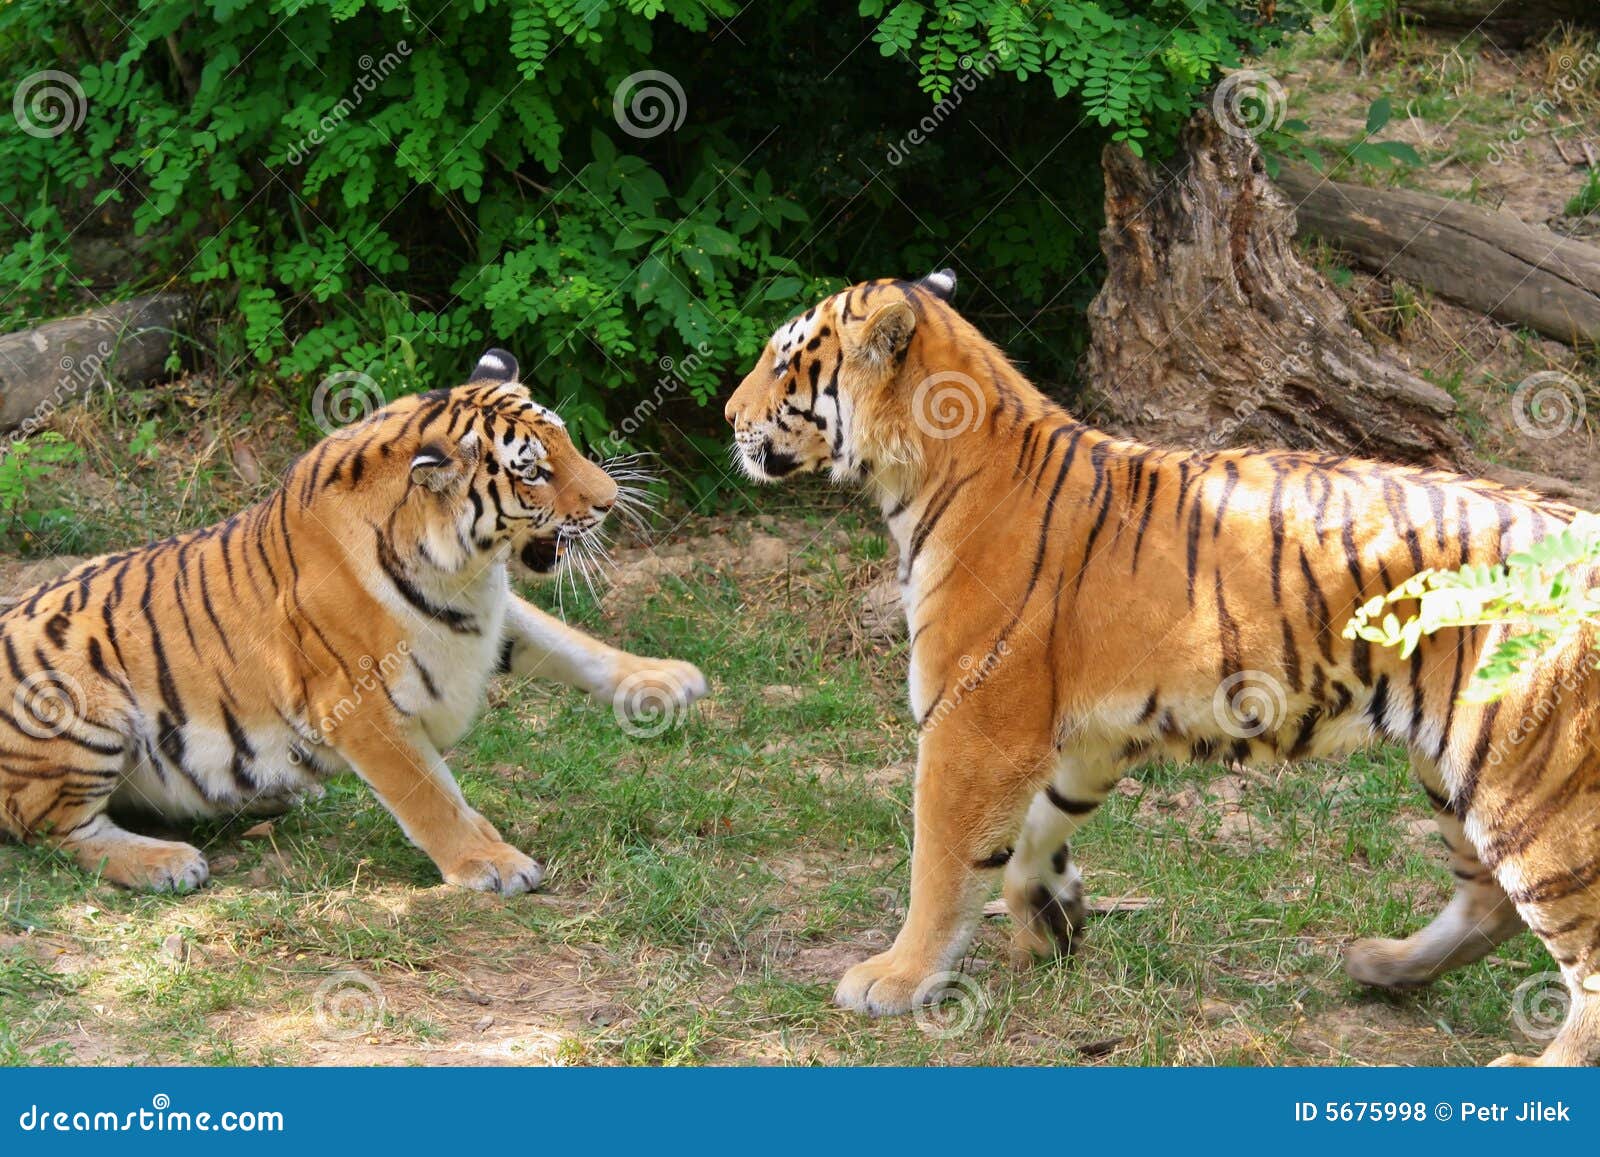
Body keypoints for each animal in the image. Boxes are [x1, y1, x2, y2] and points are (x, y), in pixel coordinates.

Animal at [0, 349, 707, 896]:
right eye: (532, 469)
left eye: (566, 442)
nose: (611, 503)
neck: (465, 570)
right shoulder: (359, 702)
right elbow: (428, 794)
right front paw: (493, 864)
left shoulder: (486, 616)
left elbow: (573, 644)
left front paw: (667, 681)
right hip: (77, 699)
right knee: (52, 829)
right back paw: (164, 863)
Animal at [725, 271, 1600, 1067]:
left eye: (784, 360)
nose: (728, 416)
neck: (926, 467)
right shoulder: (1086, 736)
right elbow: (1035, 833)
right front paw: (1051, 916)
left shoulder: (972, 722)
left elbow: (938, 867)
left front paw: (897, 978)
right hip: (1453, 760)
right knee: (1488, 897)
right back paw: (1384, 966)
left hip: (1528, 778)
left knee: (1577, 941)